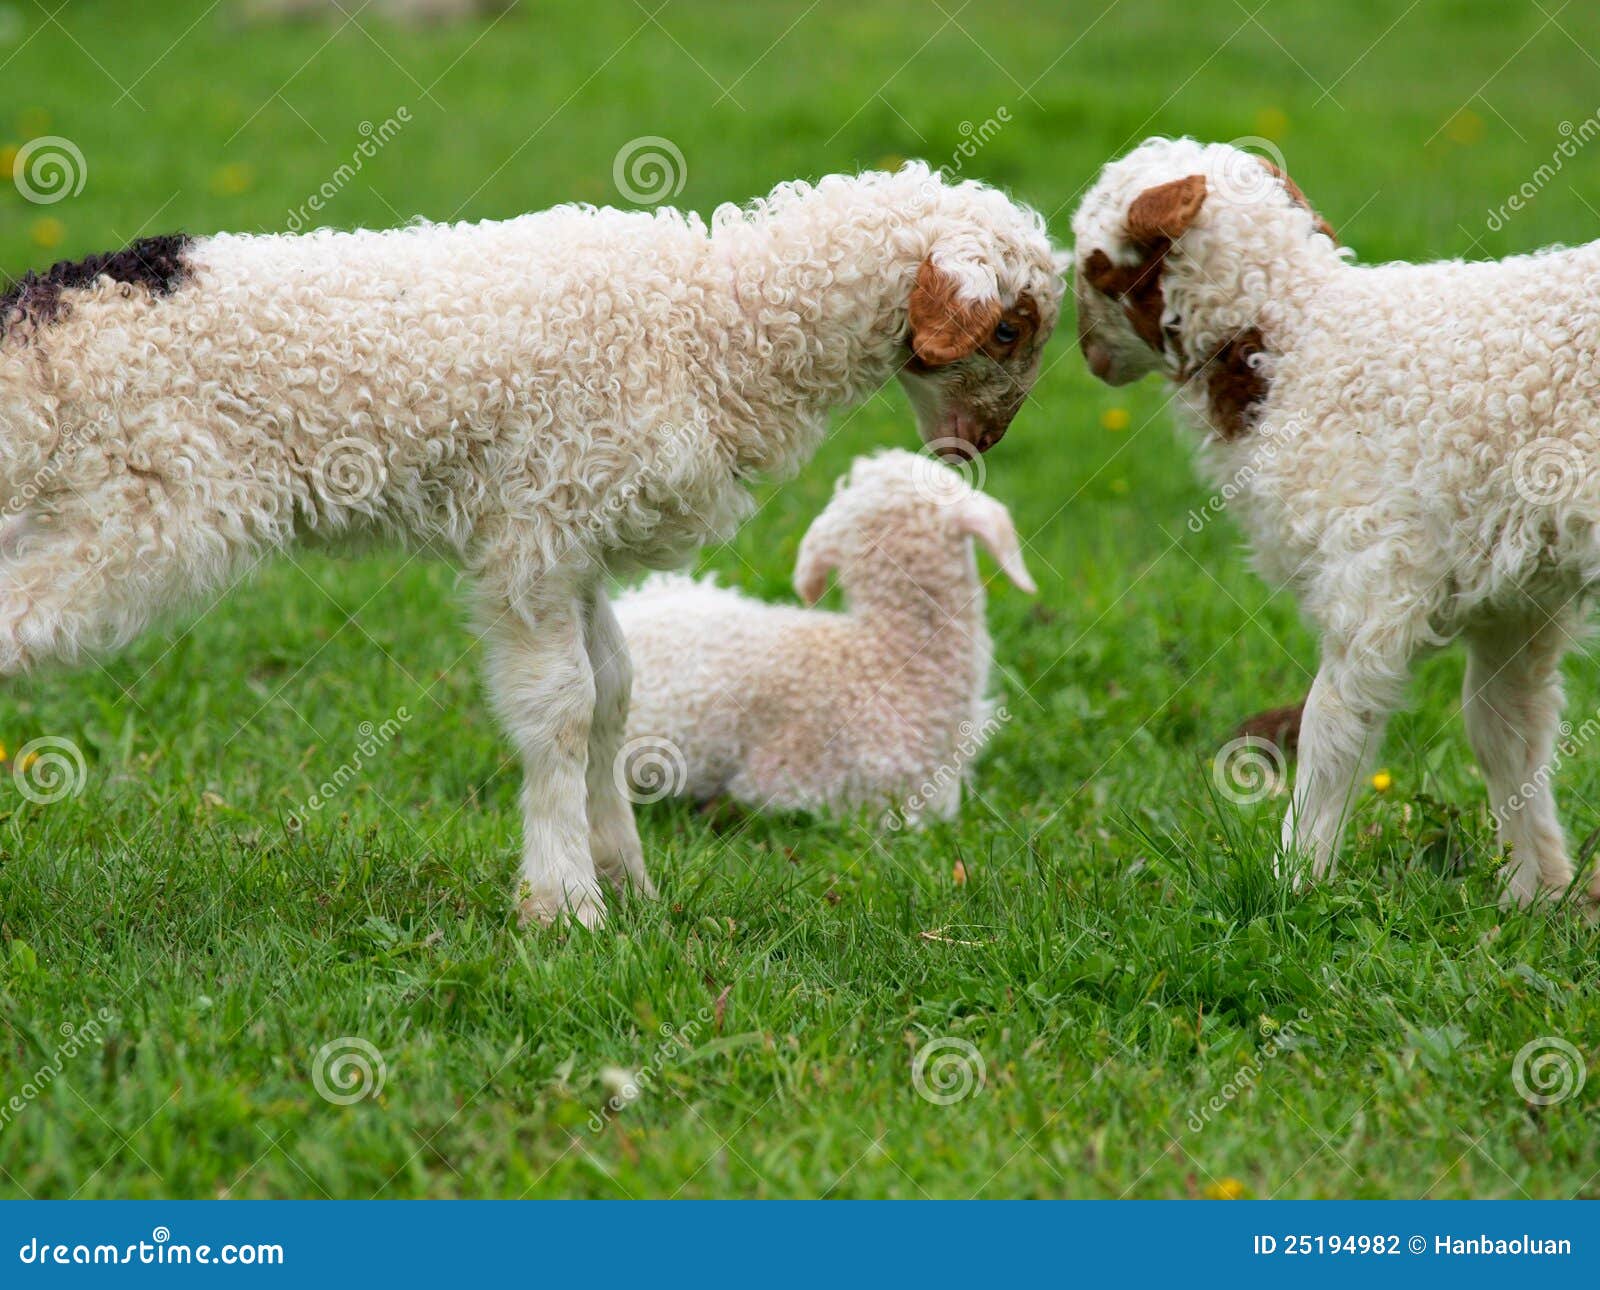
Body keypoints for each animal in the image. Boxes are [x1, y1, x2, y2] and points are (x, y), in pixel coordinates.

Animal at [1072, 134, 1600, 912]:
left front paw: (1293, 882)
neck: (1297, 345)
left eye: (1094, 265)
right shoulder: (1517, 597)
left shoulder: (1372, 571)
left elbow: (1330, 732)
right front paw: (1534, 893)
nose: (1088, 354)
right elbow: (1506, 731)